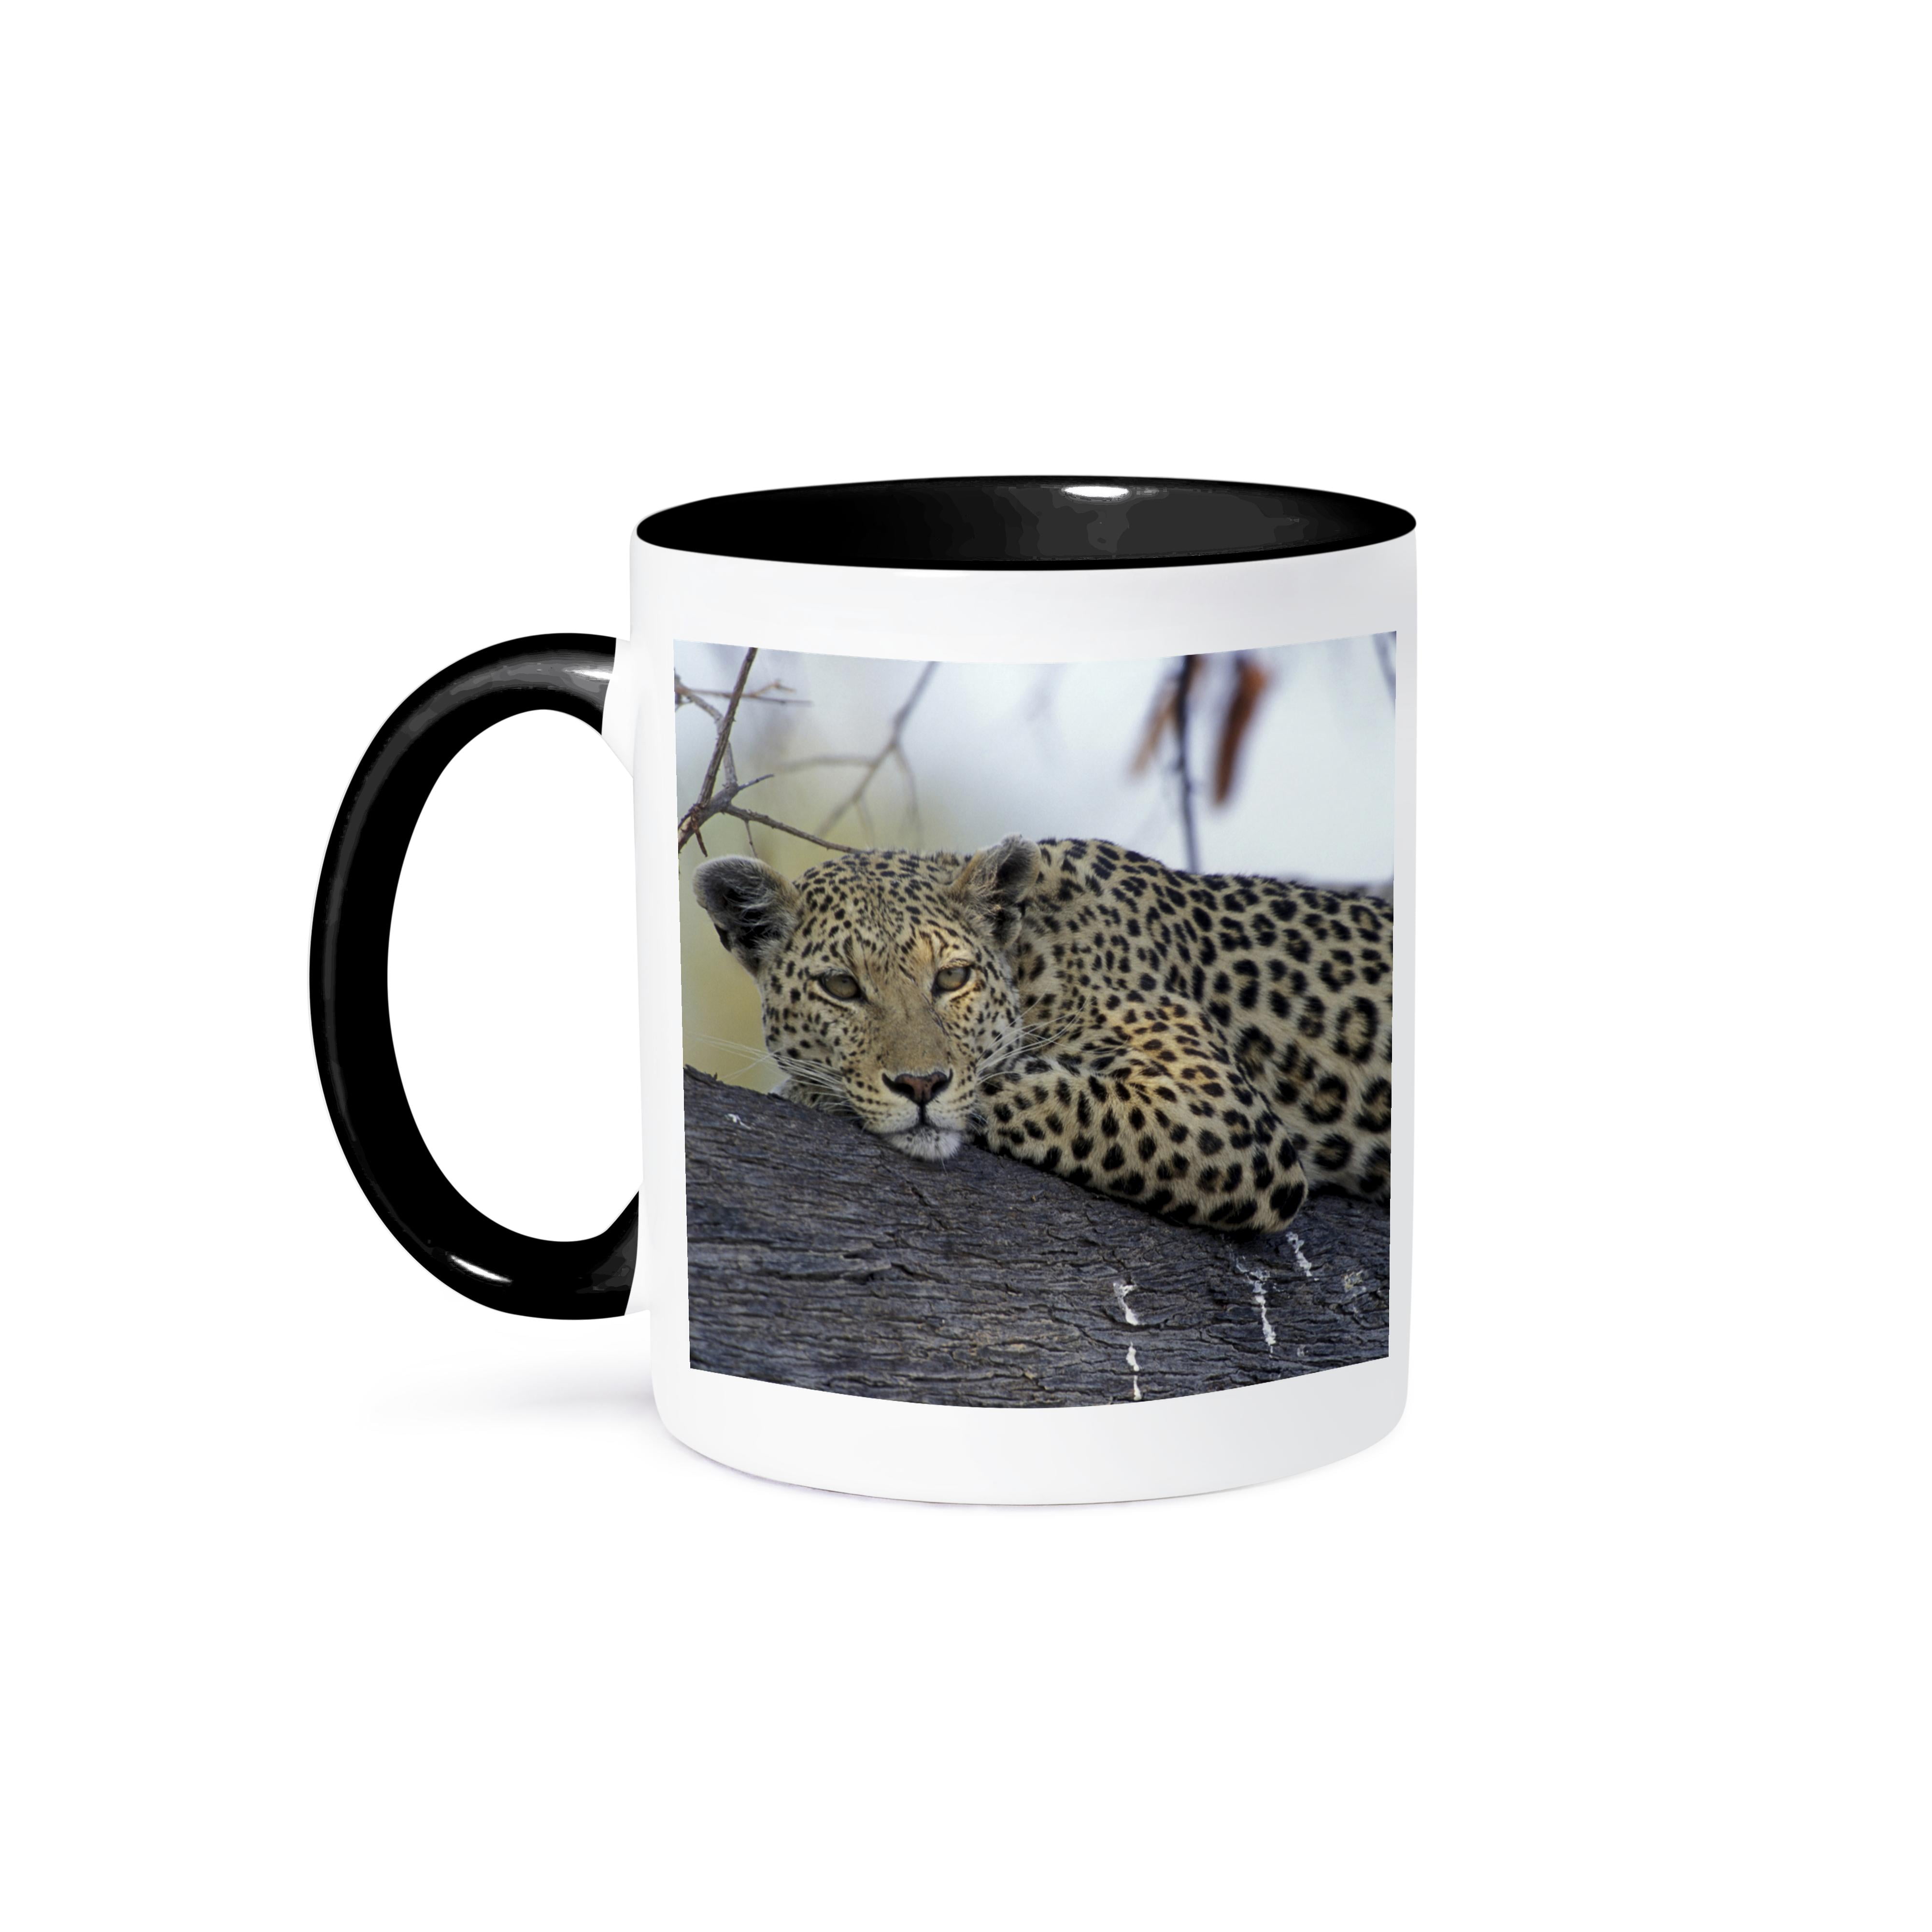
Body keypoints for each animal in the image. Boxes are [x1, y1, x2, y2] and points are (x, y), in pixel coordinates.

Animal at [691, 836, 1393, 1234]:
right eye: (841, 987)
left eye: (952, 977)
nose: (919, 1085)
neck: (1033, 962)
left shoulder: (1223, 1114)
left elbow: (1043, 1092)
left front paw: (809, 1093)